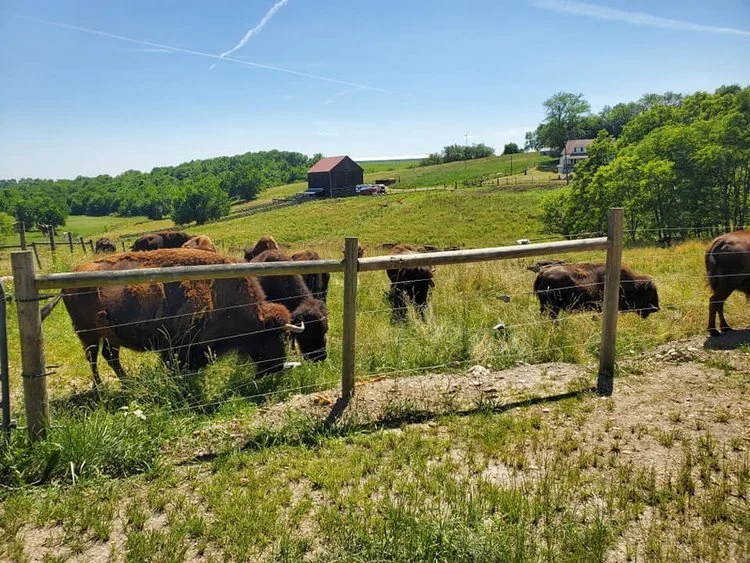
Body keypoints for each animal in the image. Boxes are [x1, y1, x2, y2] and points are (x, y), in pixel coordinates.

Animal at [62, 249, 301, 388]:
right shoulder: (177, 346)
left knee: (110, 356)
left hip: (109, 335)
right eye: (273, 337)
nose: (276, 367)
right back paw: (101, 387)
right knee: (93, 358)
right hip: (87, 334)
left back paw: (127, 383)